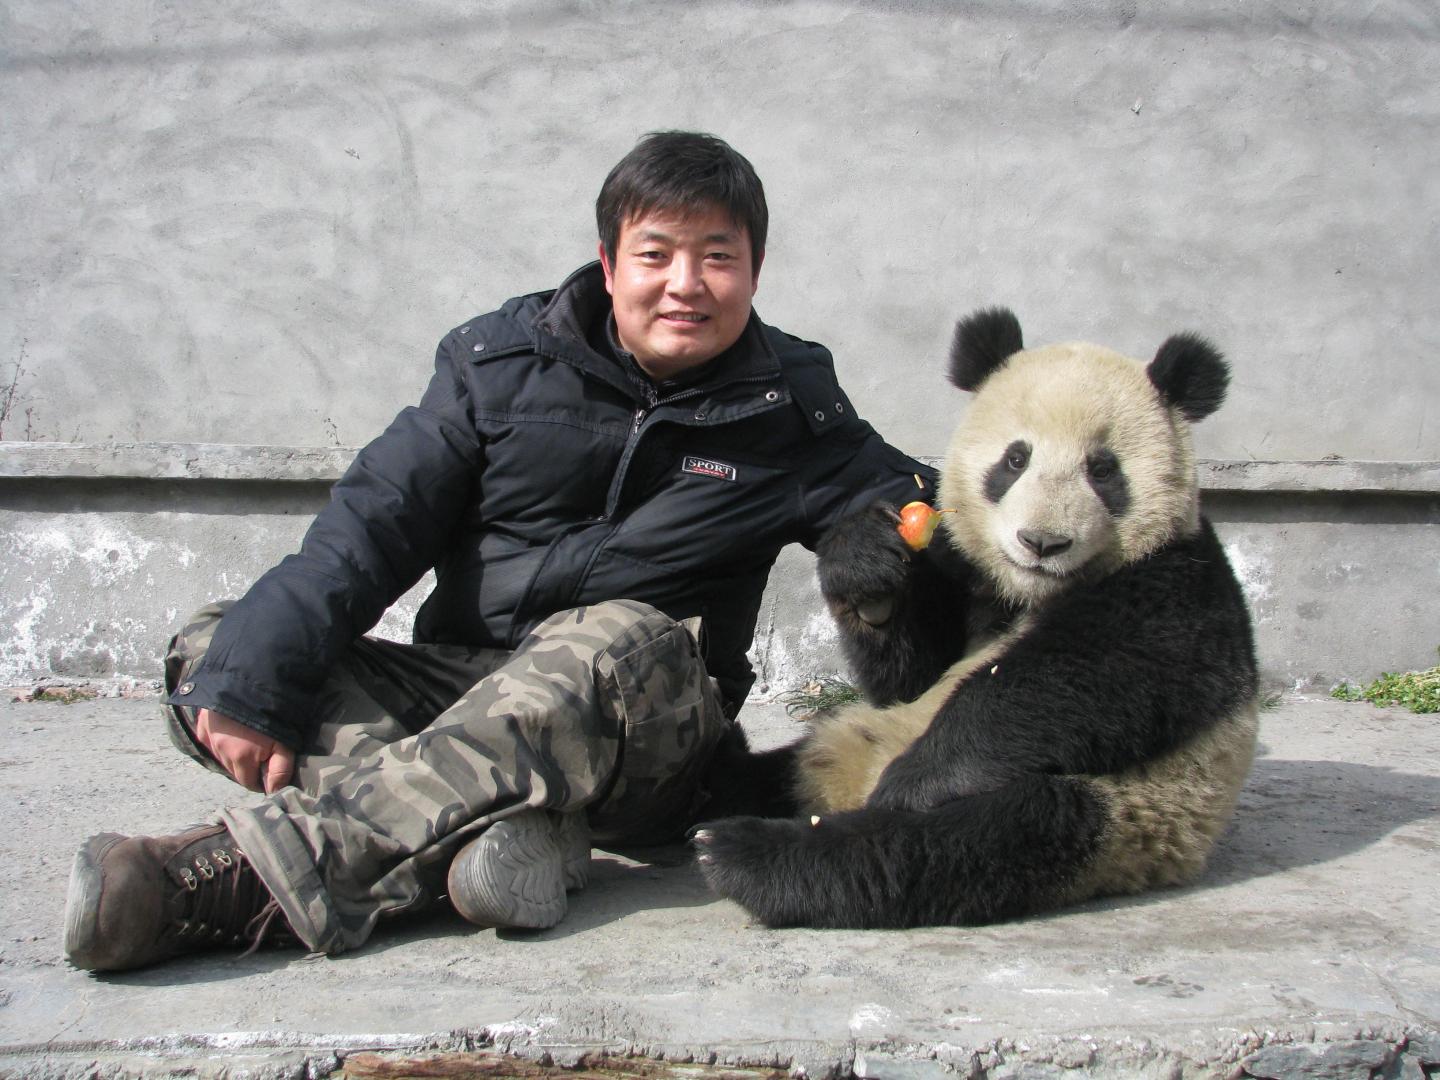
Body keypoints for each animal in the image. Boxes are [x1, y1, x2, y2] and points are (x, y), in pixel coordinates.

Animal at [692, 307, 1259, 929]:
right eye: (1015, 459)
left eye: (1103, 470)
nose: (1043, 542)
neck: (1031, 592)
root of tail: (842, 793)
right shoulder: (971, 578)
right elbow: (913, 674)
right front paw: (867, 569)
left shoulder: (1178, 580)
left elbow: (1090, 677)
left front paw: (920, 776)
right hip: (844, 737)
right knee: (790, 765)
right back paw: (715, 780)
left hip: (1118, 812)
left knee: (949, 844)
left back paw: (748, 853)